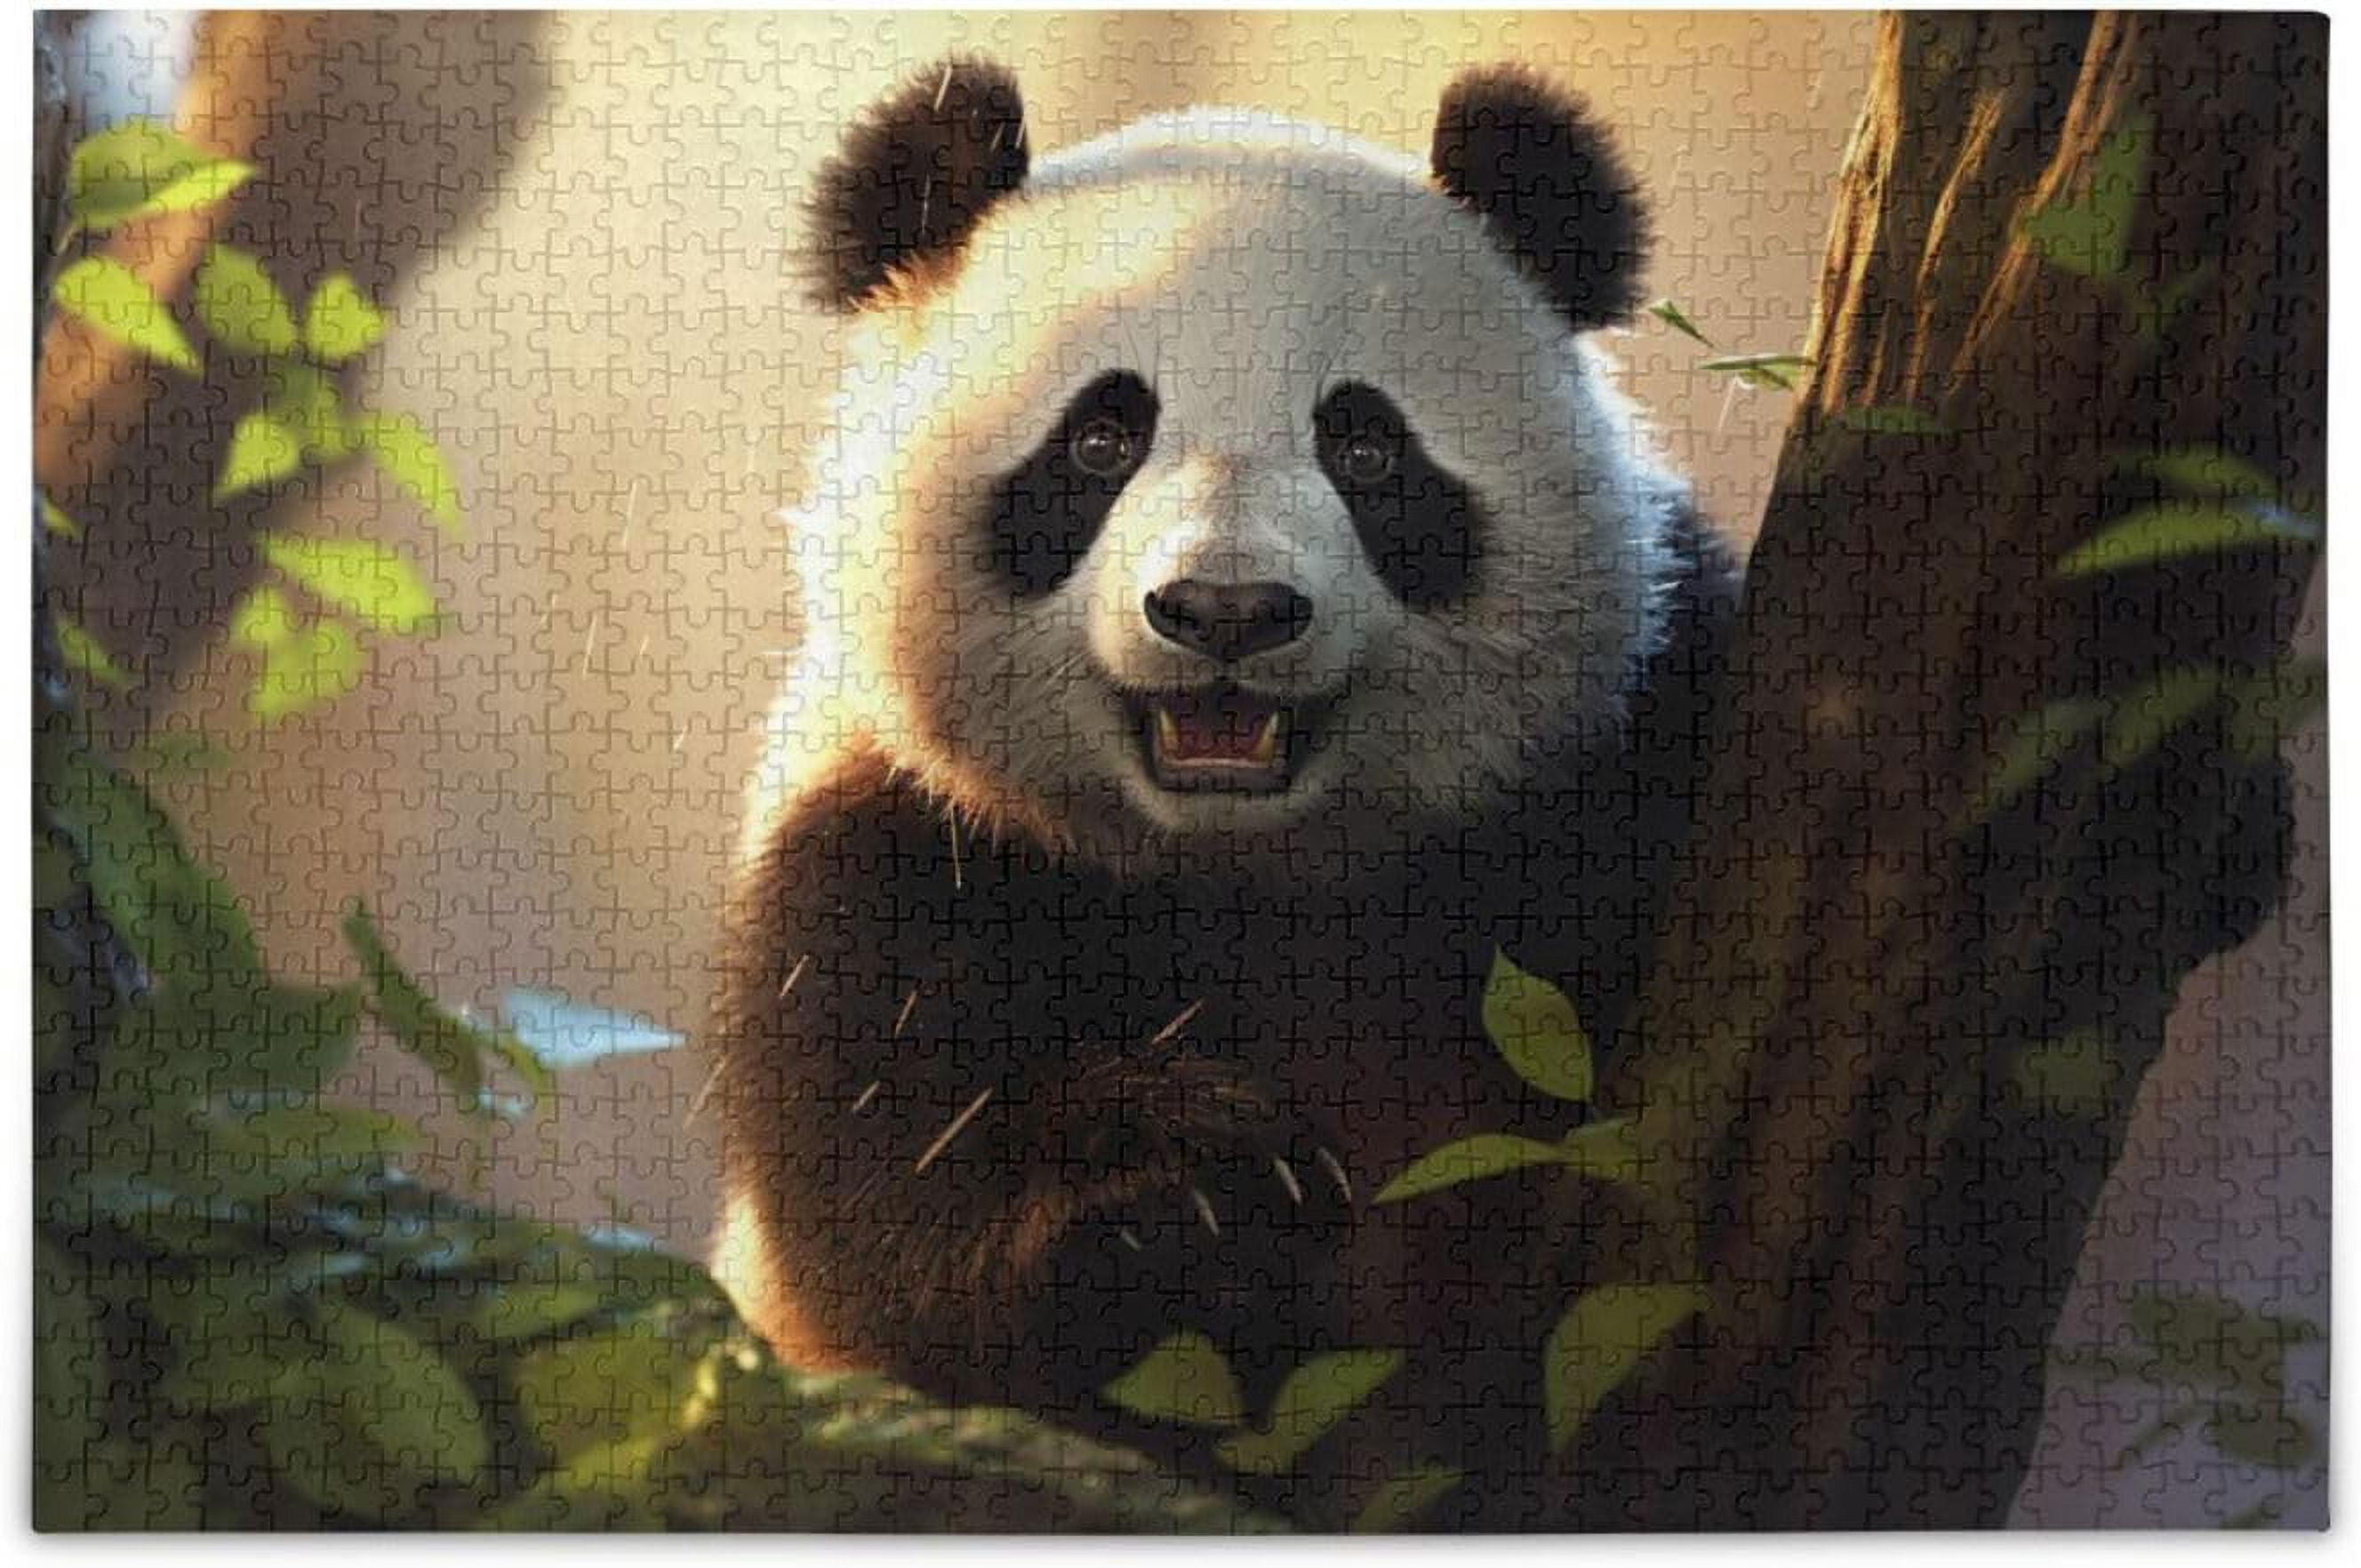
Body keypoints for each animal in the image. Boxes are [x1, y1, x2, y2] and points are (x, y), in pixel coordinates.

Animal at [710, 57, 1736, 1528]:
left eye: (1367, 449)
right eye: (1100, 438)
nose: (1226, 611)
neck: (1248, 872)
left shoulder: (1632, 735)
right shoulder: (888, 844)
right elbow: (888, 1228)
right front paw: (1185, 1190)